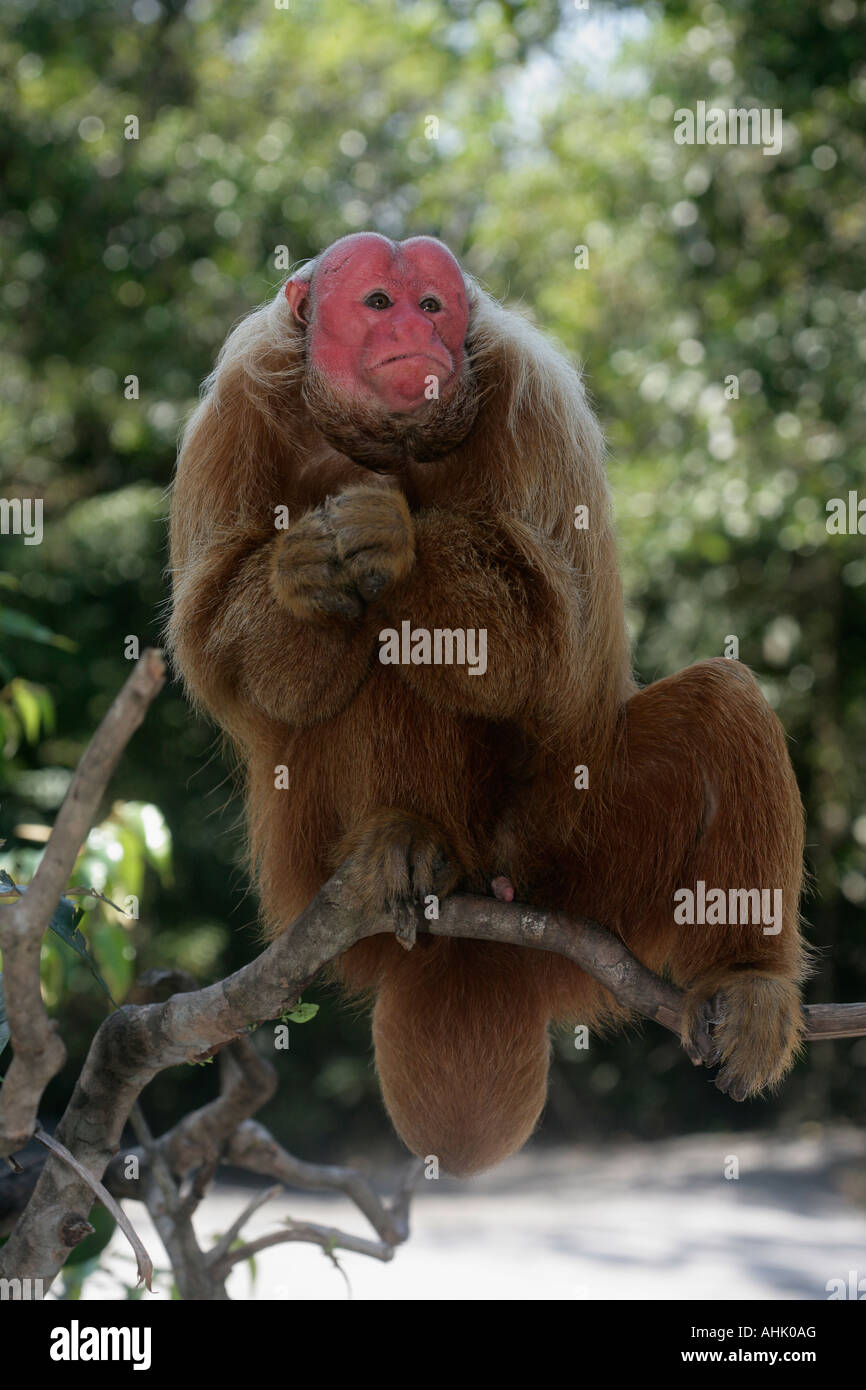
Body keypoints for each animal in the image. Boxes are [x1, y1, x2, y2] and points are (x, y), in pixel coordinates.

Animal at [168, 232, 808, 1177]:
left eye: (433, 306)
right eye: (379, 302)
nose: (419, 335)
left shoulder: (533, 400)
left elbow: (554, 649)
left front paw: (392, 537)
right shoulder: (234, 412)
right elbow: (221, 651)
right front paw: (301, 570)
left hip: (576, 859)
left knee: (717, 703)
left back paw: (748, 978)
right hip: (306, 869)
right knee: (367, 646)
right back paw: (405, 839)